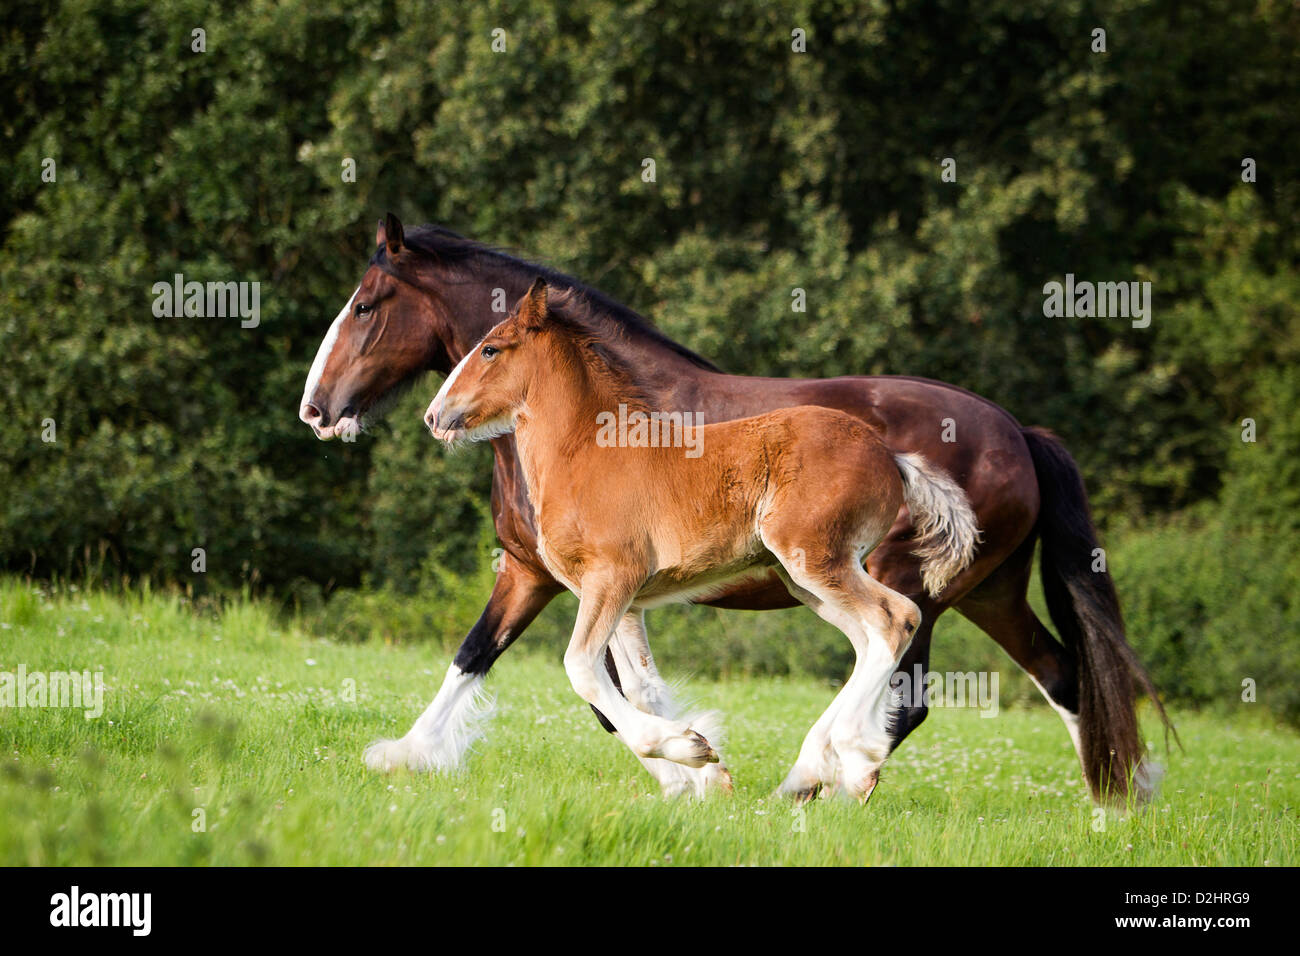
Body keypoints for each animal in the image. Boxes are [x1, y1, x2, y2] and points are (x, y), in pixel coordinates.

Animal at [300, 214, 1170, 803]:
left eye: (367, 304)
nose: (316, 409)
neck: (583, 435)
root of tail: (1018, 431)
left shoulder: (567, 577)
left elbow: (580, 680)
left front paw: (691, 761)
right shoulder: (587, 584)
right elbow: (518, 663)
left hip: (878, 575)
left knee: (900, 667)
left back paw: (820, 775)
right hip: (979, 589)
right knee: (1059, 673)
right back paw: (1116, 804)